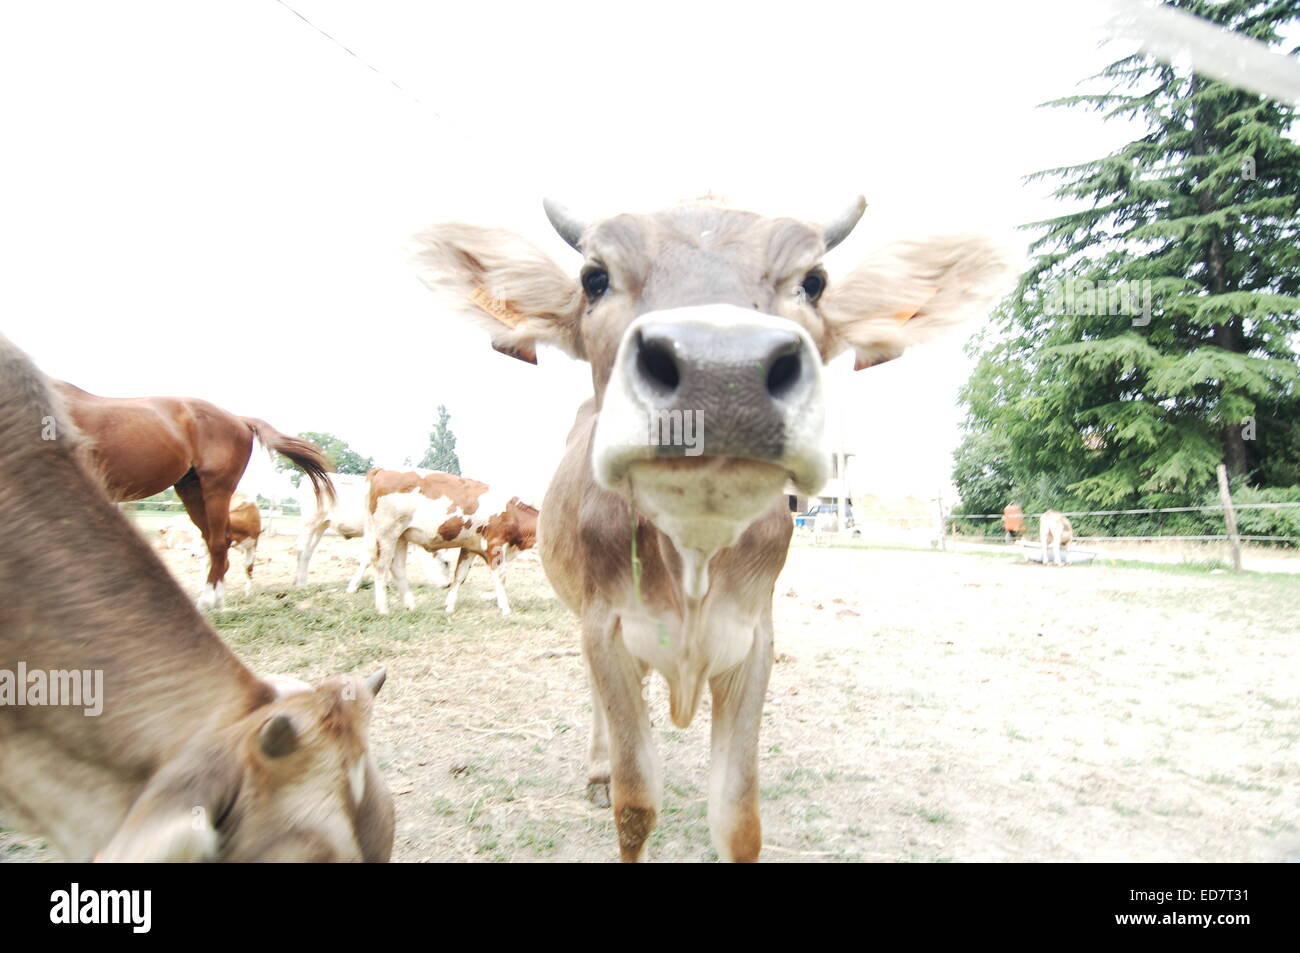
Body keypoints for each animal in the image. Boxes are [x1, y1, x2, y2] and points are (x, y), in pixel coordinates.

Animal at [359, 468, 539, 616]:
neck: (514, 515)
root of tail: (382, 470)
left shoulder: (469, 548)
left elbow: (459, 576)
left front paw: (449, 607)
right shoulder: (495, 545)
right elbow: (500, 577)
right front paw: (505, 609)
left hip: (401, 537)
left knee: (397, 568)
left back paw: (411, 606)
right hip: (386, 534)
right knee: (381, 568)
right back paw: (383, 609)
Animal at [410, 195, 1009, 861]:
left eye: (814, 282)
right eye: (595, 278)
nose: (721, 371)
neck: (692, 555)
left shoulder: (753, 642)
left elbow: (739, 819)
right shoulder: (606, 630)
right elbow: (635, 805)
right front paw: (616, 784)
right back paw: (598, 770)